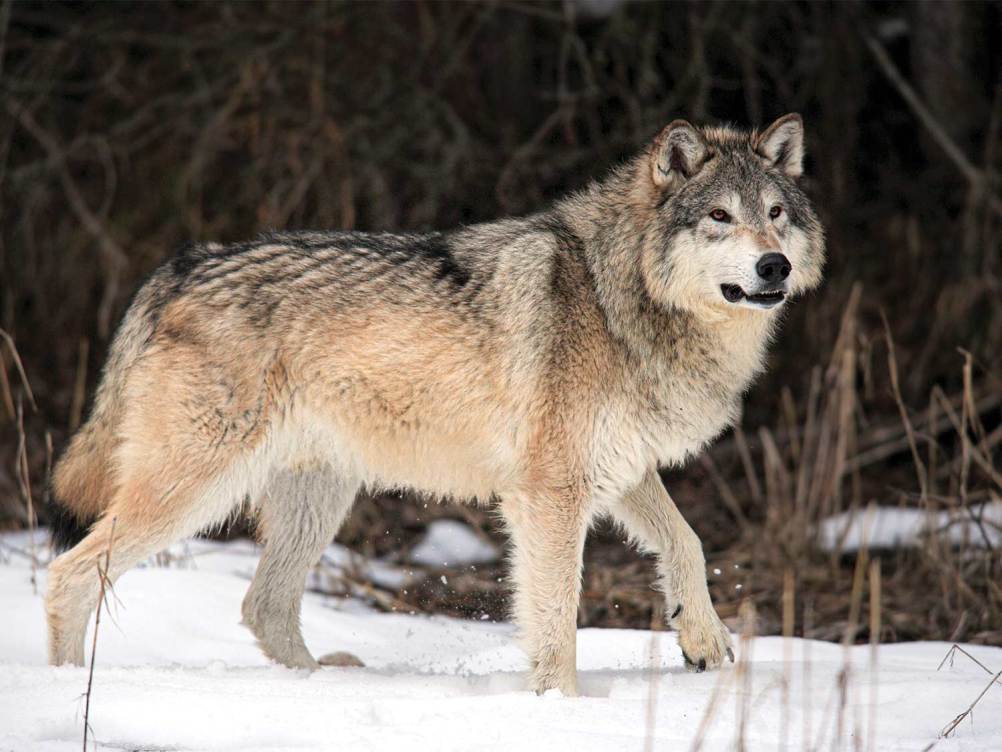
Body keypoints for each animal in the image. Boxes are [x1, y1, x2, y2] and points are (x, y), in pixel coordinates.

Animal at [46, 113, 823, 695]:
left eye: (776, 215)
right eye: (720, 216)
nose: (774, 266)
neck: (618, 296)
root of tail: (183, 266)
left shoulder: (615, 467)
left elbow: (686, 542)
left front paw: (702, 638)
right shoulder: (550, 493)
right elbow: (555, 621)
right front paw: (561, 708)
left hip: (316, 497)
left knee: (263, 605)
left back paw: (318, 687)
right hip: (196, 490)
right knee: (69, 575)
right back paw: (66, 689)